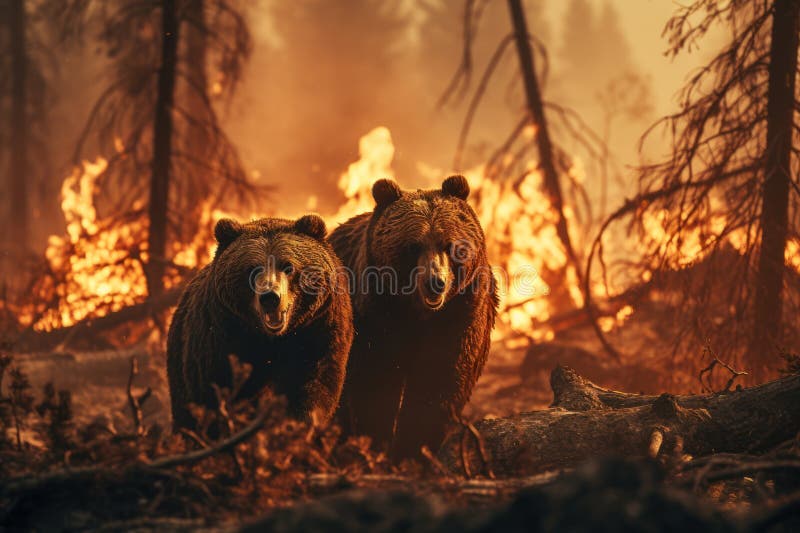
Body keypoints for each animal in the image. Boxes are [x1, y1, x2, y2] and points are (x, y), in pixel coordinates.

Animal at [167, 215, 353, 432]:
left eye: (288, 266)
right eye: (253, 269)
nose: (270, 297)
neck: (271, 339)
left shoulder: (317, 329)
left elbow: (311, 385)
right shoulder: (221, 336)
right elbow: (213, 393)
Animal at [329, 175, 498, 459]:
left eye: (450, 245)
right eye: (413, 246)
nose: (436, 282)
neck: (419, 312)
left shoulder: (461, 312)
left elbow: (438, 378)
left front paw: (414, 447)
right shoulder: (379, 313)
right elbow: (375, 381)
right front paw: (376, 441)